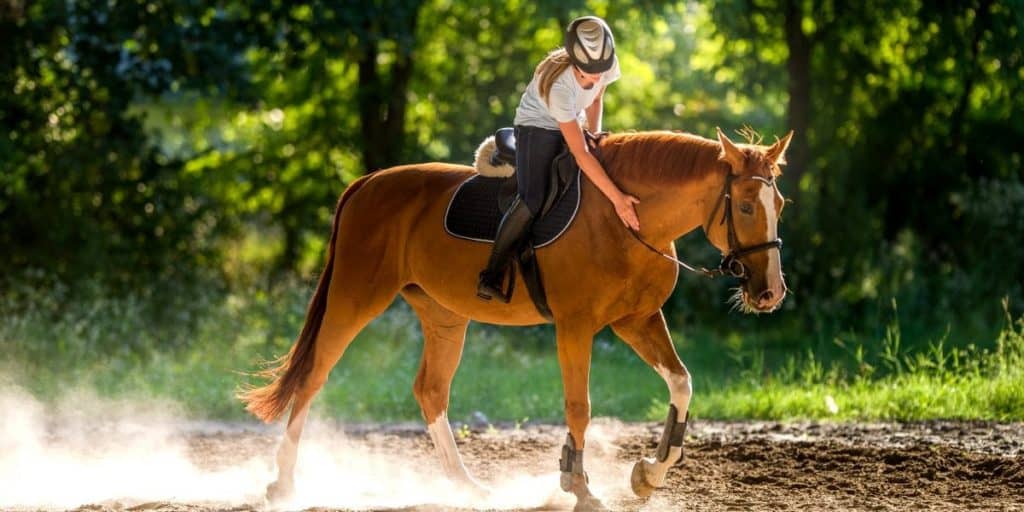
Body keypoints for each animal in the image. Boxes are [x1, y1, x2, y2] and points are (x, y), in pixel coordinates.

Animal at [240, 127, 792, 511]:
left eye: (779, 203)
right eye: (746, 205)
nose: (769, 293)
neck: (626, 219)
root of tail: (367, 182)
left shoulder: (638, 320)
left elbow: (681, 383)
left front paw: (648, 474)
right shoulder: (575, 327)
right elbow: (579, 408)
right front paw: (579, 486)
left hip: (443, 316)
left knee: (430, 390)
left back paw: (466, 485)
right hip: (355, 298)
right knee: (314, 377)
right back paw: (283, 483)